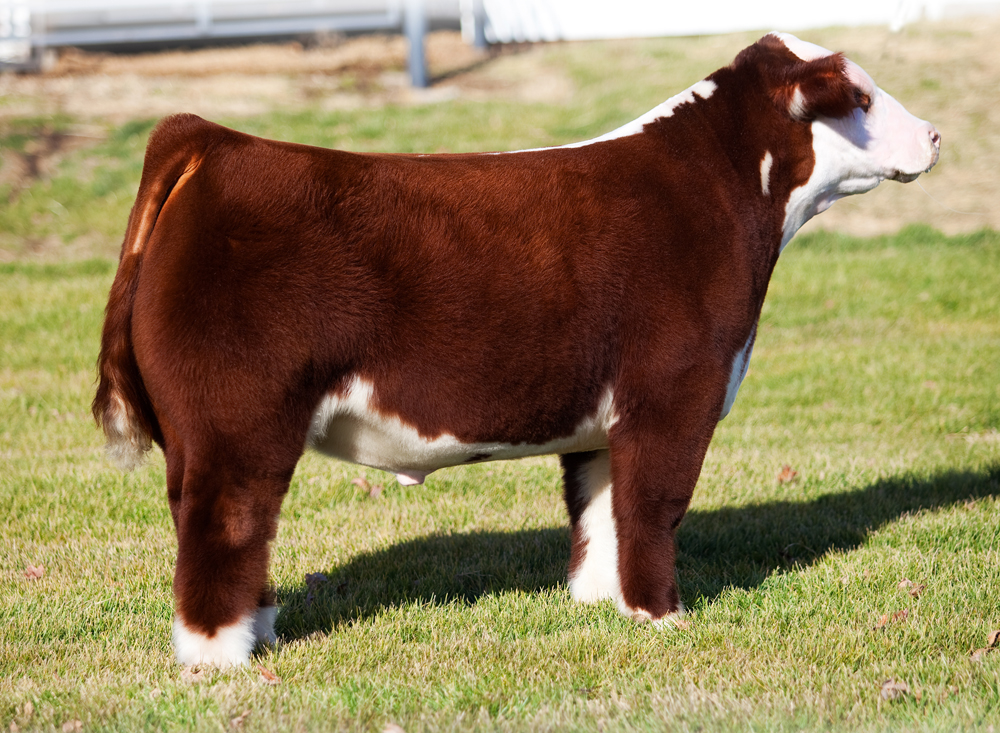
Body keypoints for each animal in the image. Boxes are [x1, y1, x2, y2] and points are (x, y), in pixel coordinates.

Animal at [93, 32, 940, 668]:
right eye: (861, 99)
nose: (934, 135)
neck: (720, 198)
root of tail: (214, 140)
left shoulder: (606, 417)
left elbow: (601, 508)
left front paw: (603, 602)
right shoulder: (674, 393)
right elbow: (654, 505)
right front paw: (662, 616)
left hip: (209, 433)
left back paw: (259, 632)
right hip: (238, 419)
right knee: (226, 525)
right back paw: (220, 658)